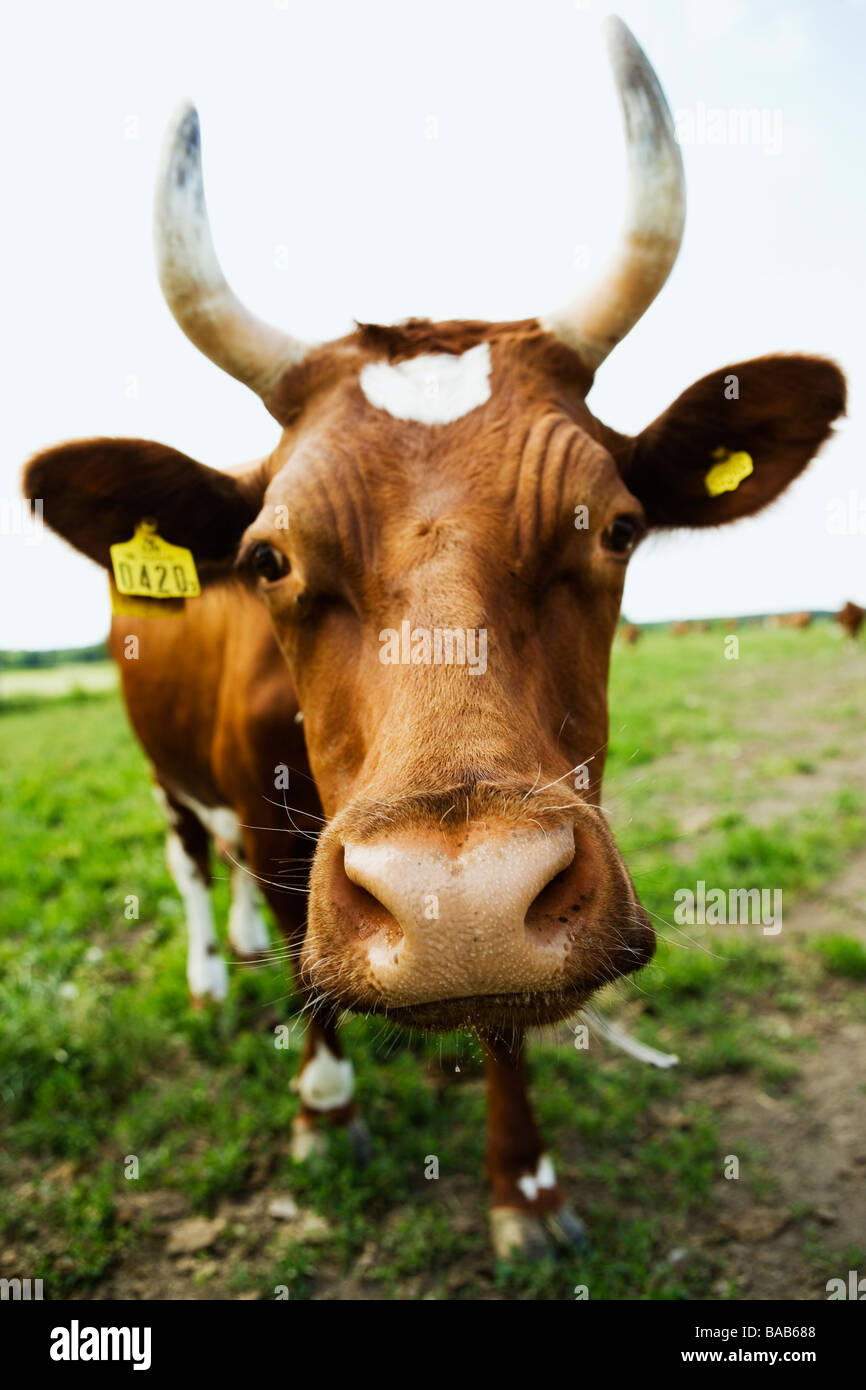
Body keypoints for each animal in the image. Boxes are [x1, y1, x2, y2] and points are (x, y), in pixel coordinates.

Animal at [22, 18, 845, 1259]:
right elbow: (295, 964)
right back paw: (215, 977)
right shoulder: (266, 820)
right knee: (188, 862)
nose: (456, 901)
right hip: (163, 772)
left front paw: (526, 1182)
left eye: (616, 526)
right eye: (268, 558)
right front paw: (324, 1110)